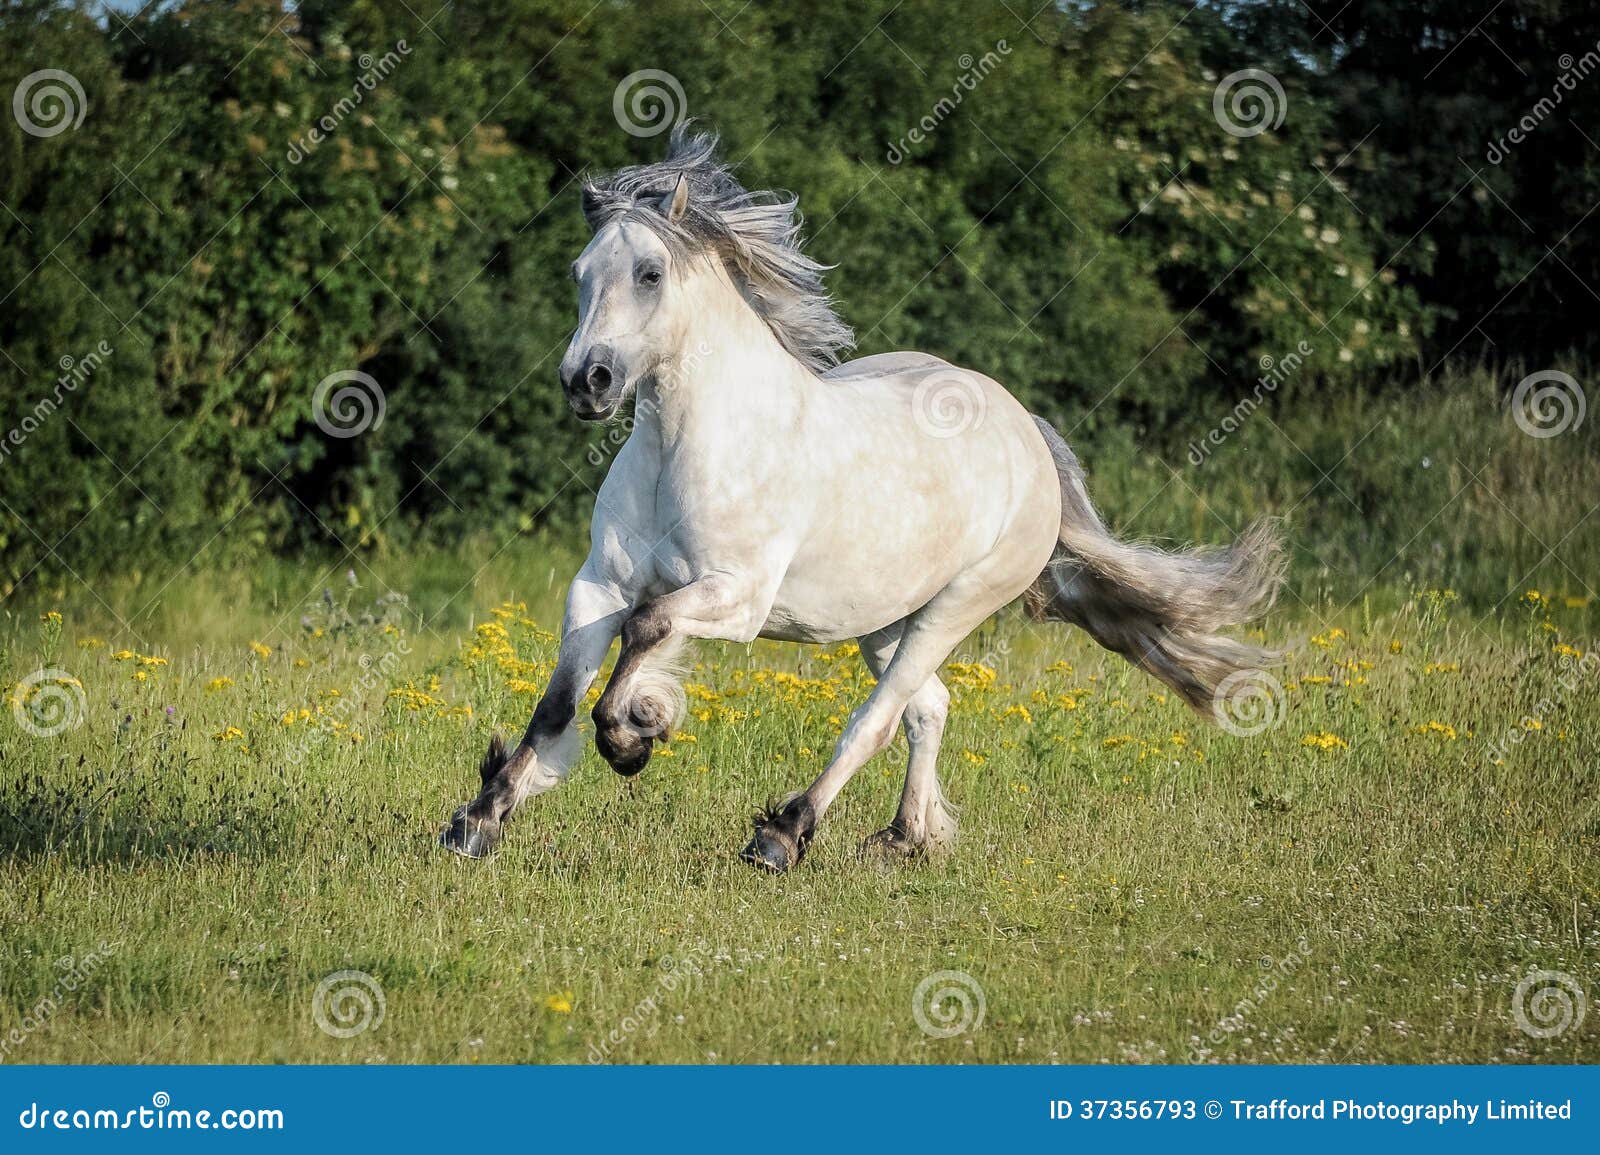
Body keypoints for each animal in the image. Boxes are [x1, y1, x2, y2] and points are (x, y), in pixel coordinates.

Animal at [442, 127, 1283, 871]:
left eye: (650, 272)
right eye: (580, 271)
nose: (587, 382)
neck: (686, 445)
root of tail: (1025, 429)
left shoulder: (735, 596)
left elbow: (647, 632)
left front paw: (633, 736)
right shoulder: (599, 585)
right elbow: (558, 701)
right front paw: (479, 821)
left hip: (957, 605)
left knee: (876, 720)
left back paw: (783, 836)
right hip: (883, 616)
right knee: (928, 706)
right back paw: (908, 837)